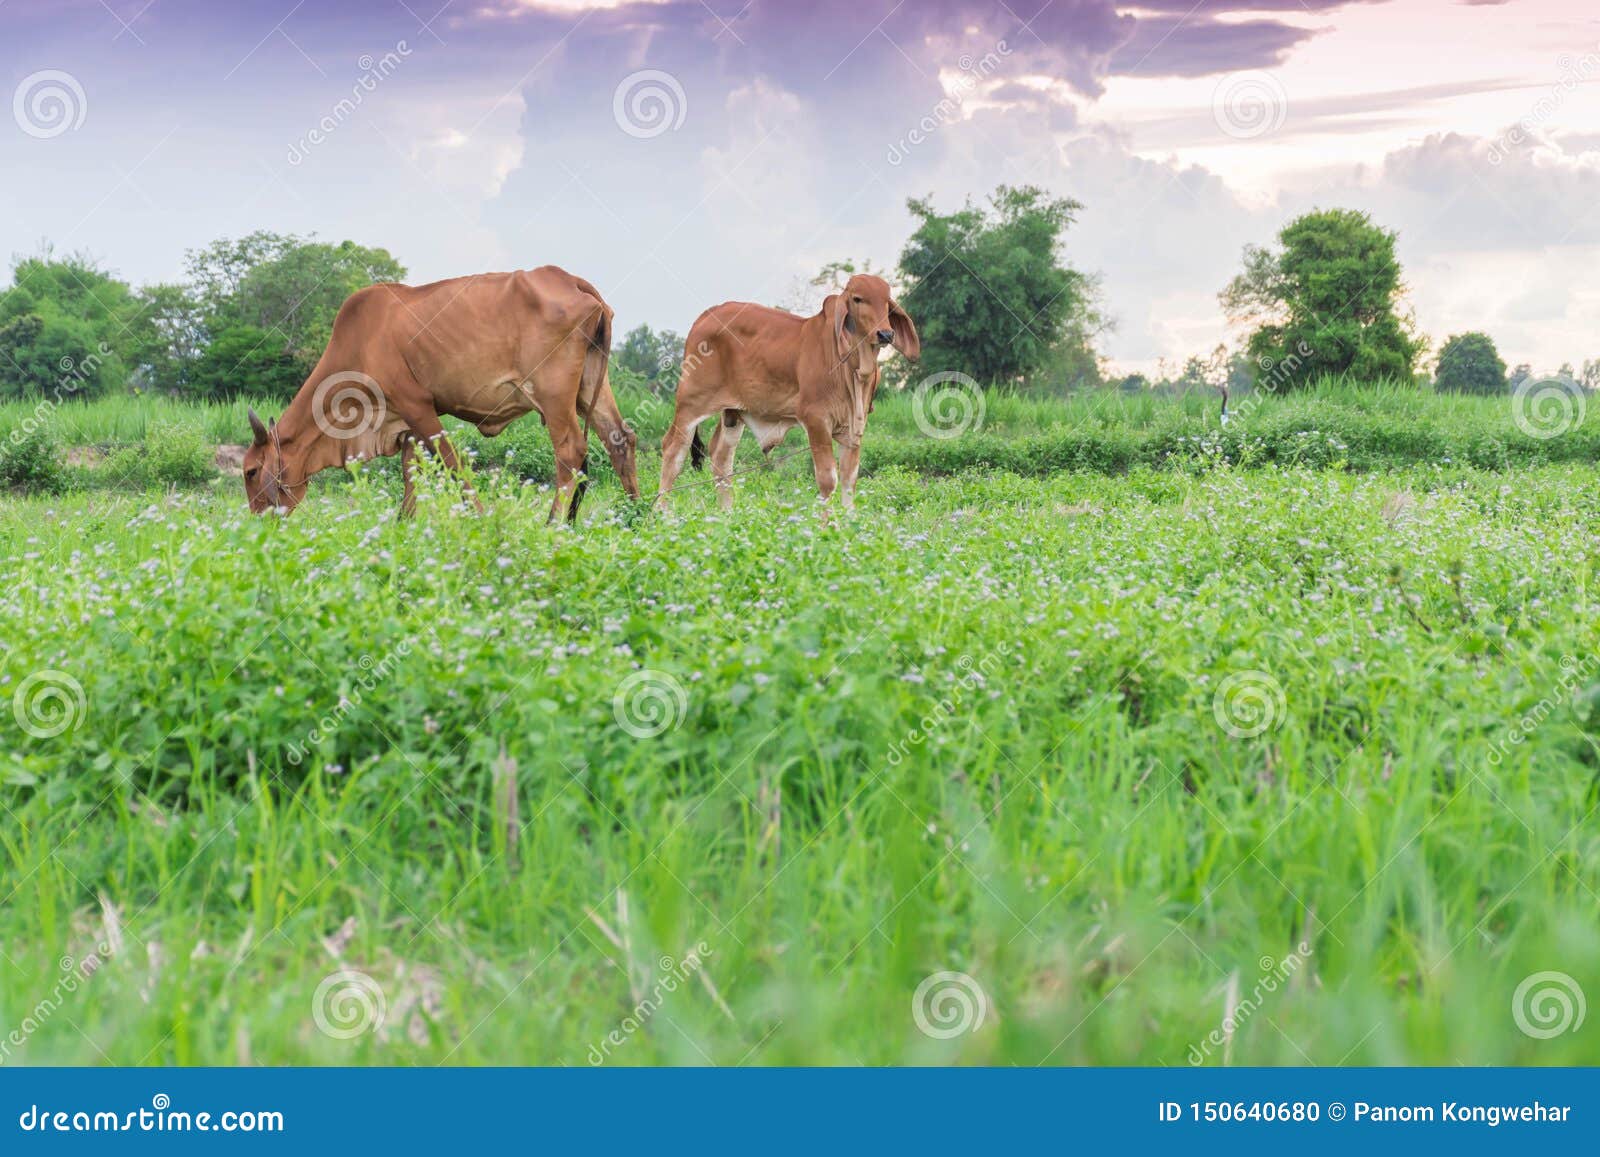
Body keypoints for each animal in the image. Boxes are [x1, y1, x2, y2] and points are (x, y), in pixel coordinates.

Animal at [242, 266, 638, 522]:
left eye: (250, 471)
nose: (260, 520)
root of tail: (572, 281)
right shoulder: (406, 422)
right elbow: (410, 474)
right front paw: (404, 524)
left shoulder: (417, 406)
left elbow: (451, 464)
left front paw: (480, 519)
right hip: (591, 387)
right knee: (620, 439)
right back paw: (635, 518)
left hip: (554, 394)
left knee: (571, 451)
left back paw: (555, 524)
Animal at [657, 274, 919, 511]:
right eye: (857, 299)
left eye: (887, 301)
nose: (886, 334)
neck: (851, 367)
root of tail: (705, 316)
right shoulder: (816, 420)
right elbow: (827, 480)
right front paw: (828, 527)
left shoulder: (854, 429)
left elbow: (848, 481)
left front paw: (849, 525)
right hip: (690, 404)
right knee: (673, 452)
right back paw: (663, 516)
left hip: (733, 413)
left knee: (721, 456)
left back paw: (726, 515)